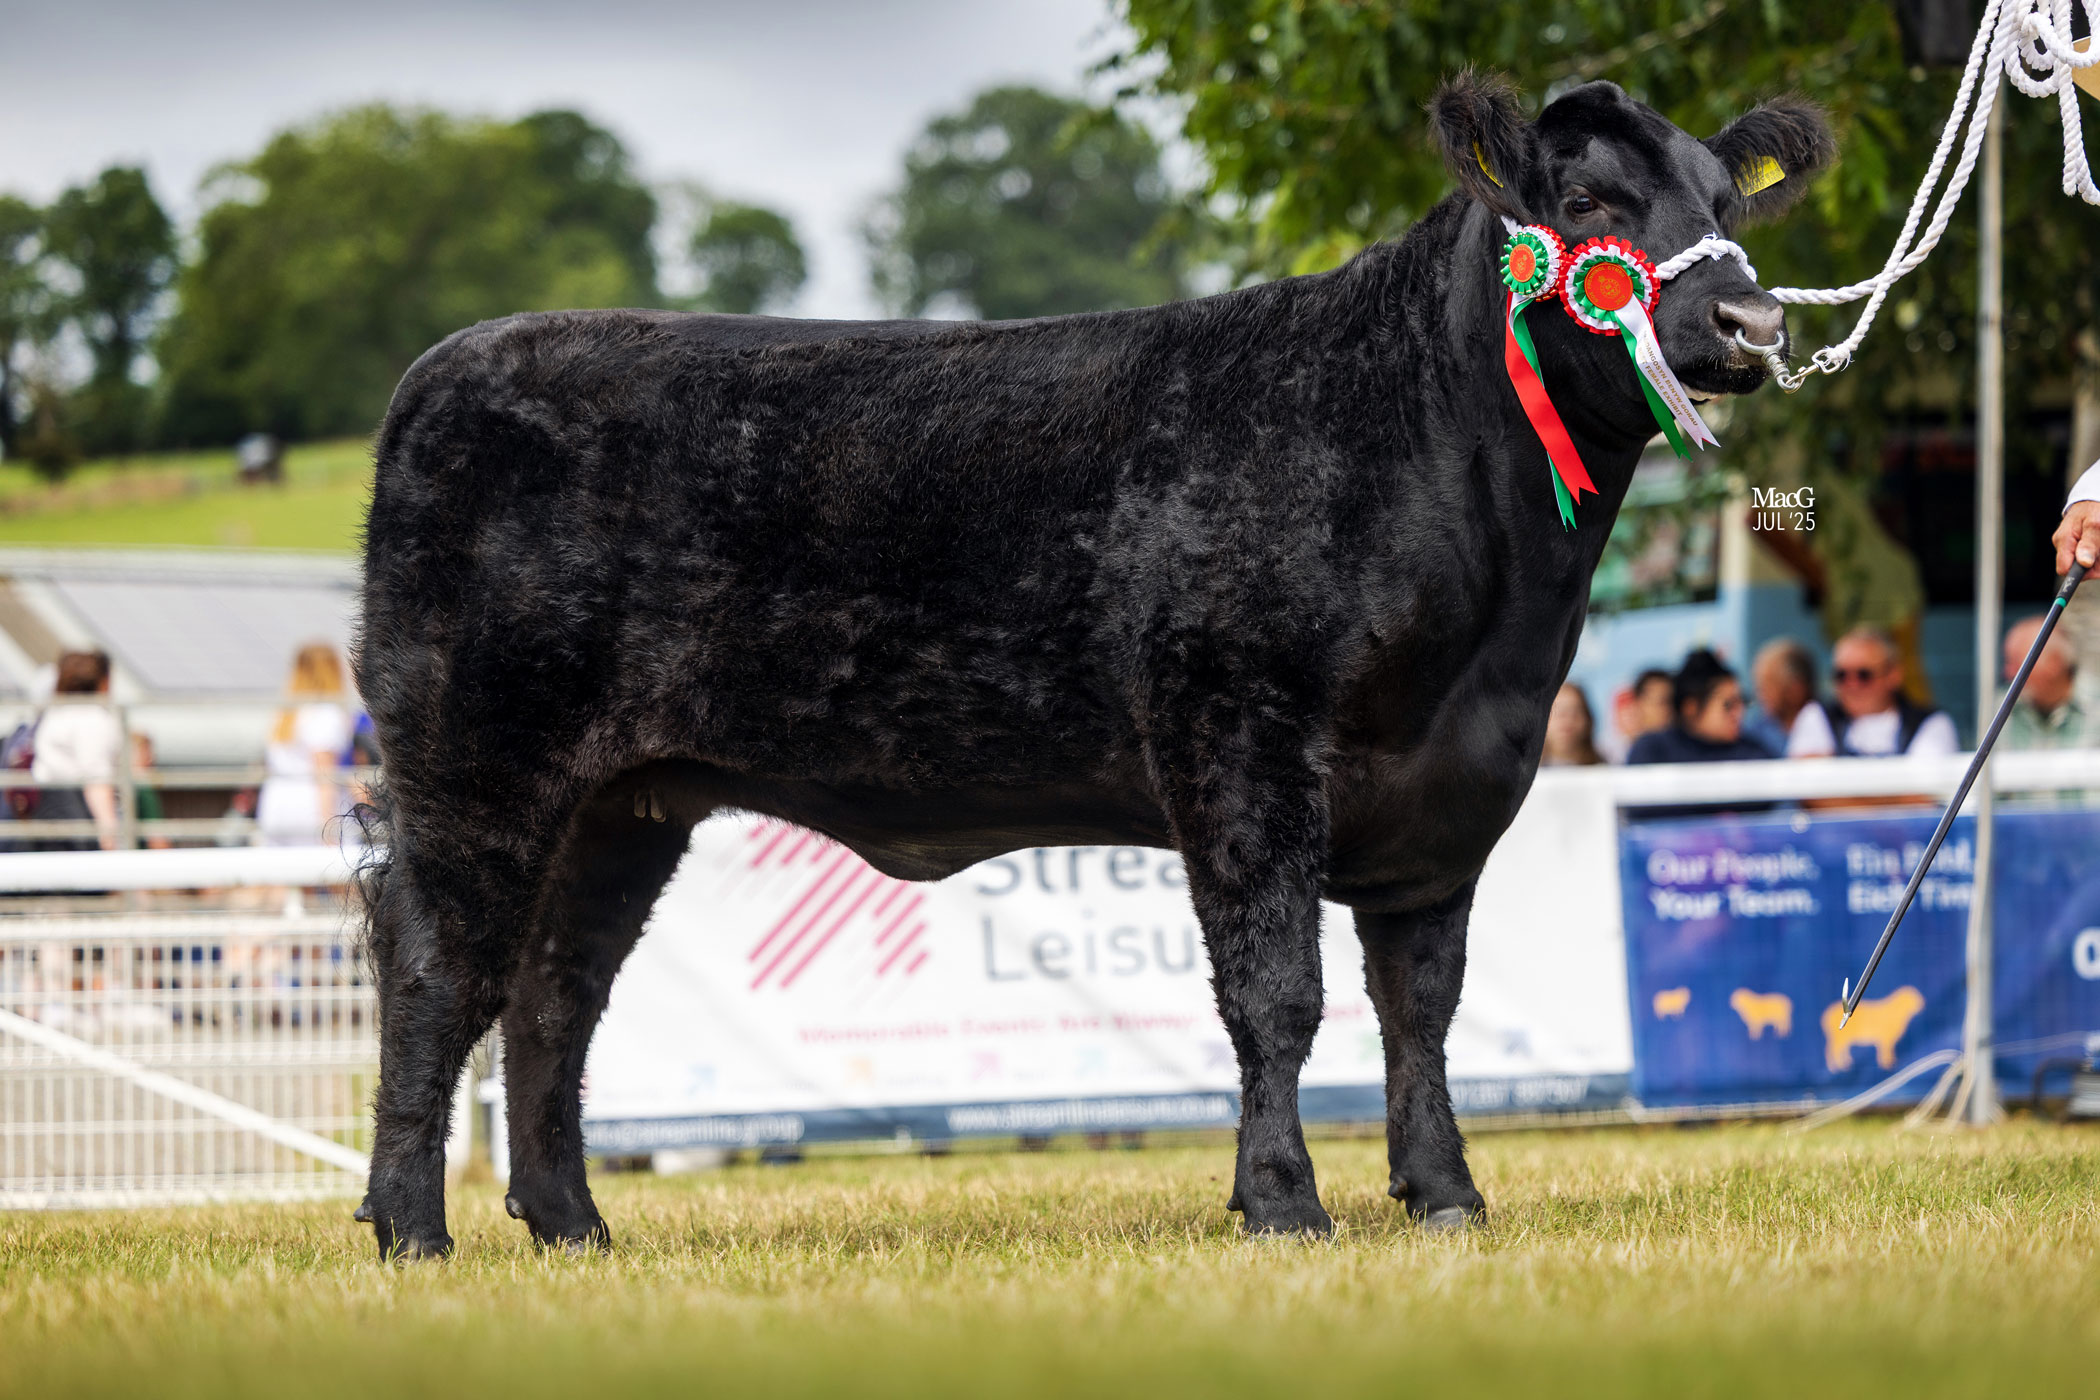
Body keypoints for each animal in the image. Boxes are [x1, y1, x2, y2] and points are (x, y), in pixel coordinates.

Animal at [352, 73, 1835, 1259]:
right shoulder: (1239, 745)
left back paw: (570, 1225)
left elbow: (1422, 1004)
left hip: (625, 798)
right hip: (478, 757)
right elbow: (1278, 996)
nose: (1752, 324)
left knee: (554, 990)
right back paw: (413, 1229)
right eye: (1587, 204)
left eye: (1727, 202)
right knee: (436, 967)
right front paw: (1283, 1201)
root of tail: (448, 366)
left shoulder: (1455, 787)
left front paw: (1446, 1193)